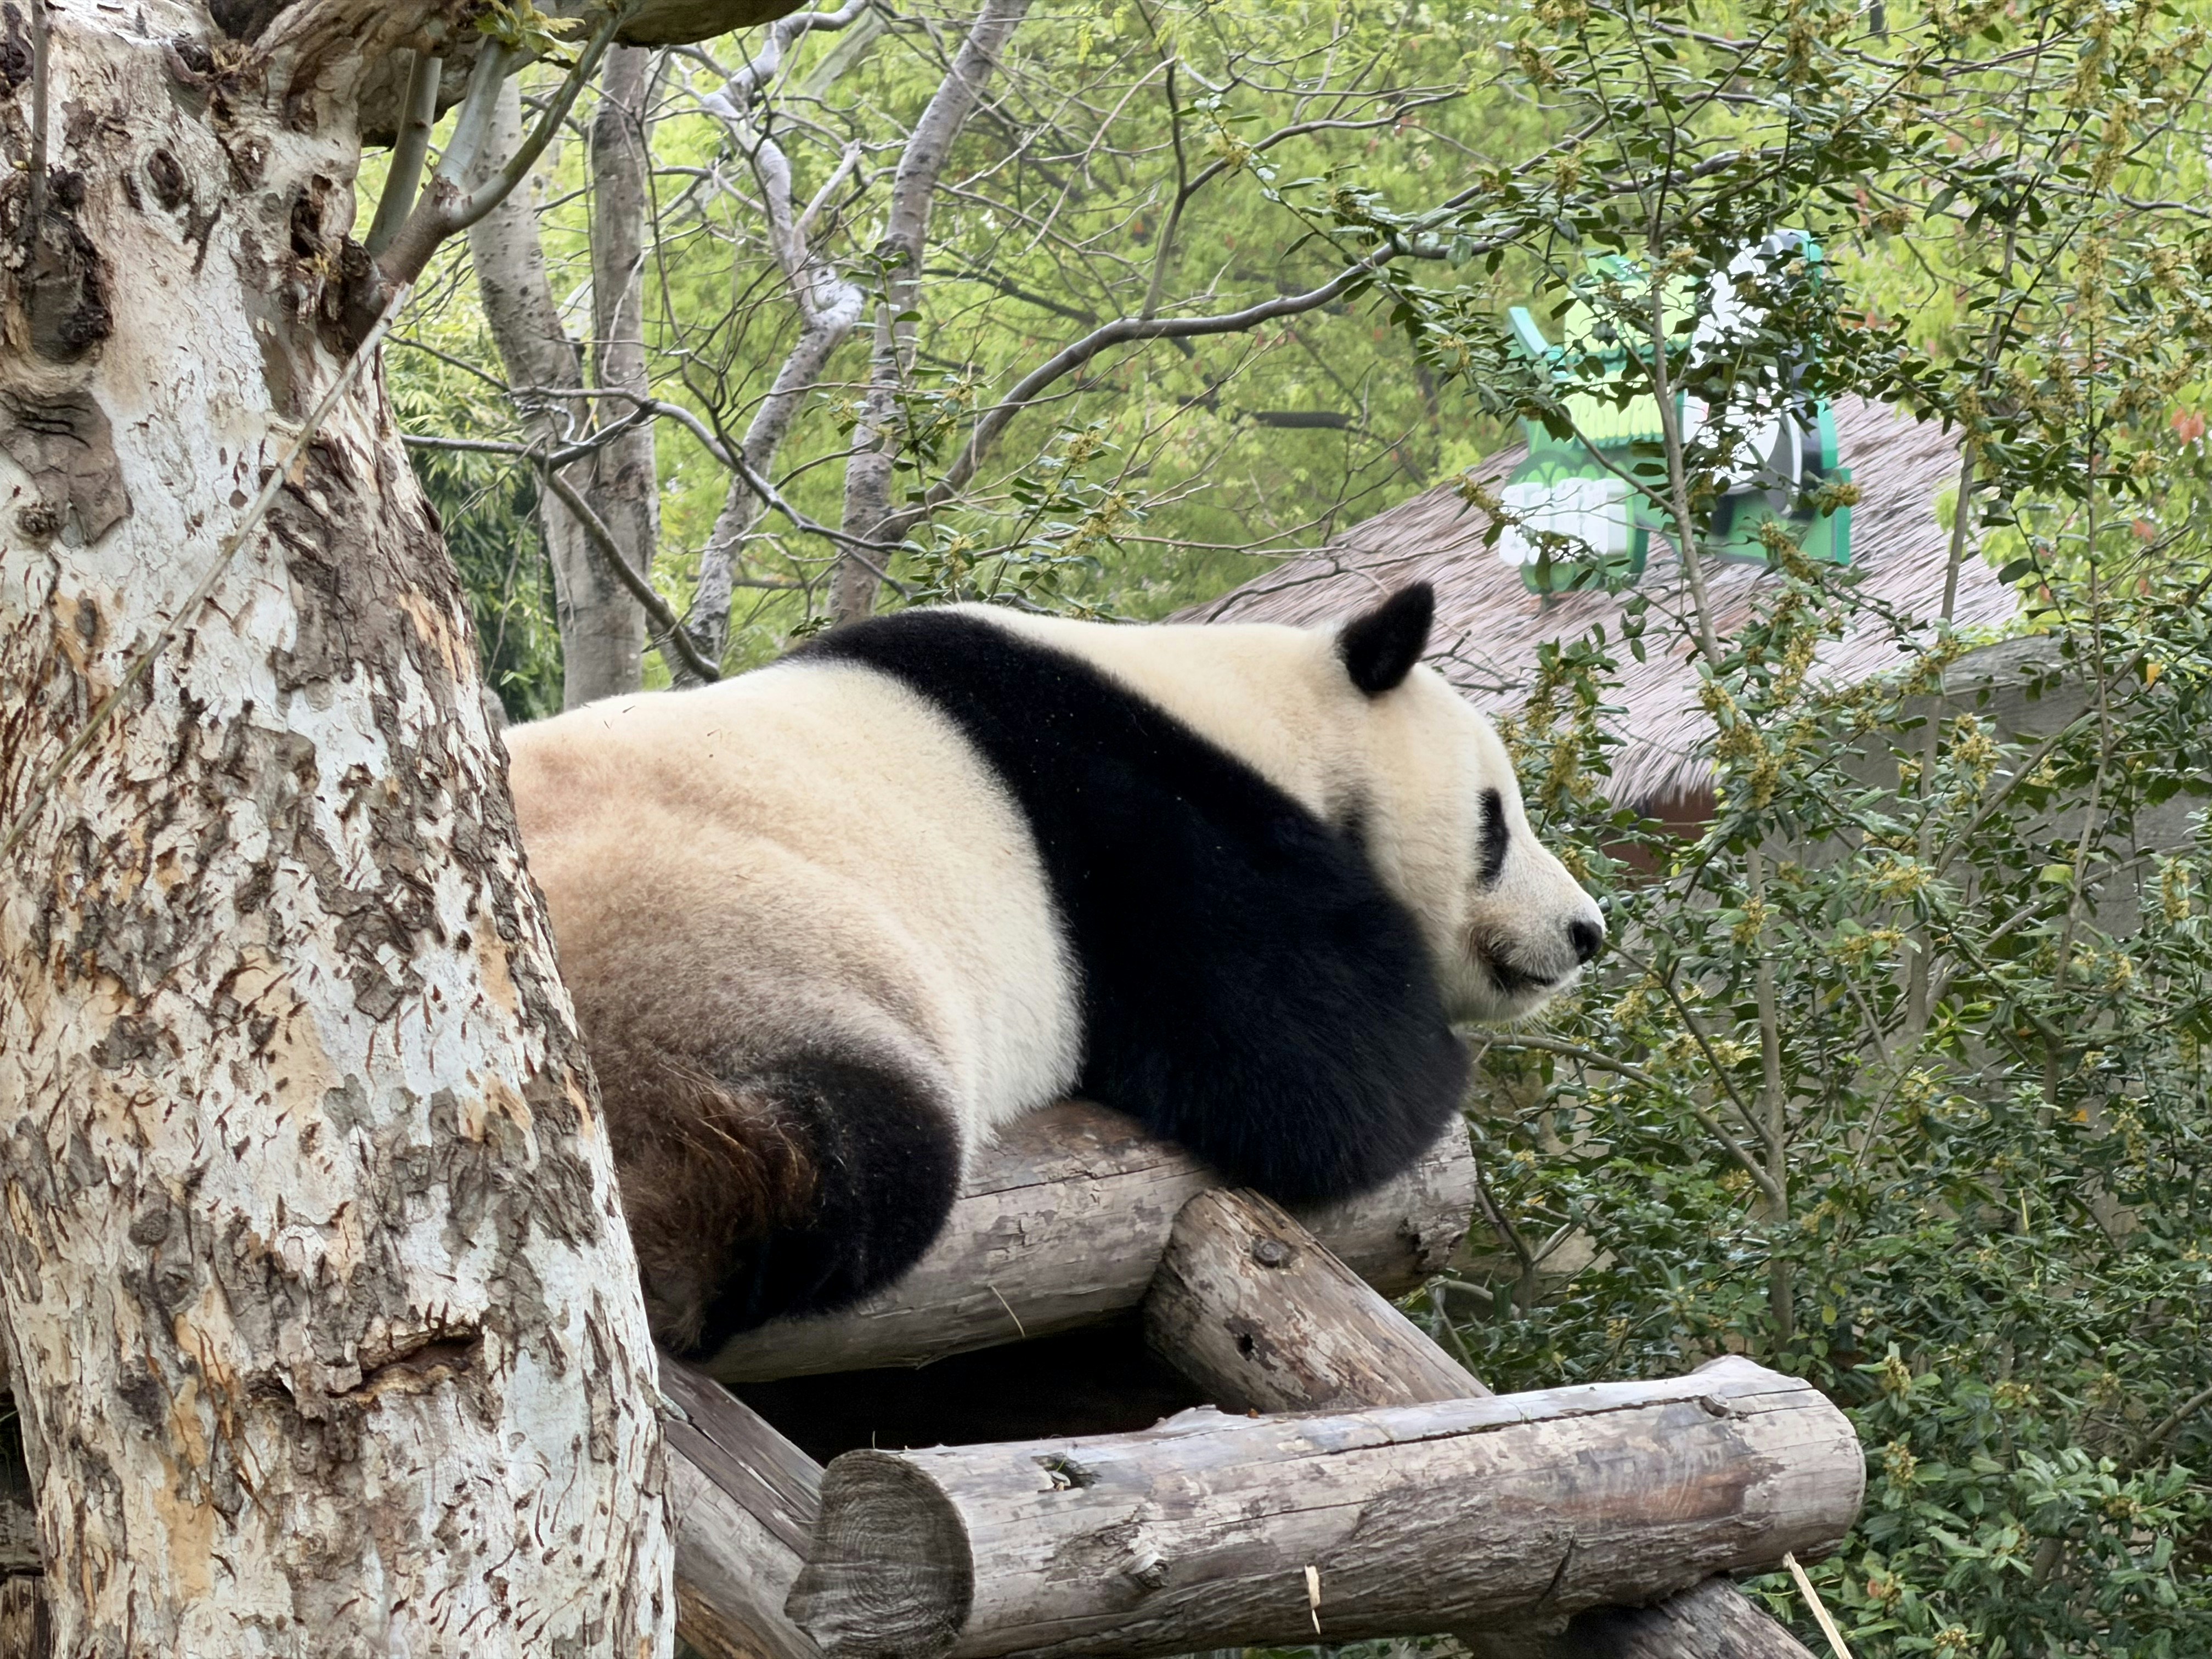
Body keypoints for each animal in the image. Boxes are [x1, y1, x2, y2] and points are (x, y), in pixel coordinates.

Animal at [502, 583, 1603, 1358]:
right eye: (1495, 822)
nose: (1586, 930)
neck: (1261, 710)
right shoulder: (1147, 836)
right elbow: (1322, 1082)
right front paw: (1436, 1067)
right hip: (728, 959)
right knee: (855, 1150)